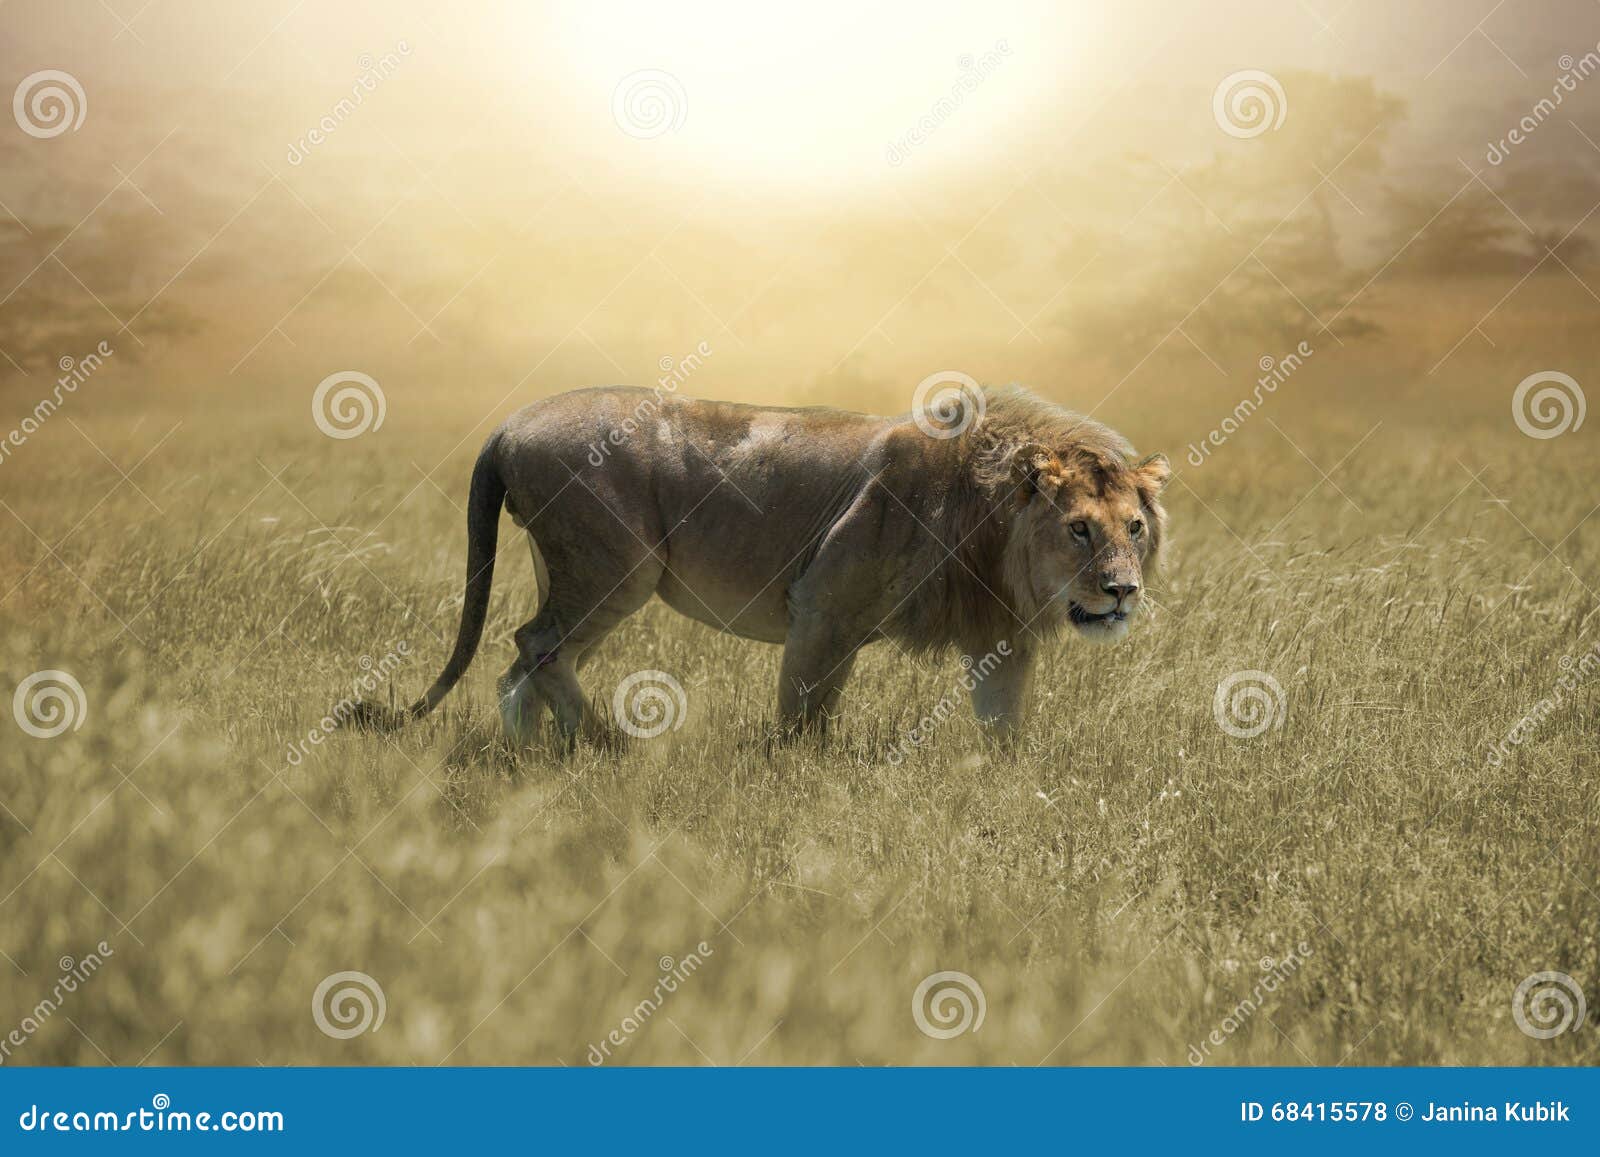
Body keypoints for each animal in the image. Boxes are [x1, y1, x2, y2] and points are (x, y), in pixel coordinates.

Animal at [373, 383, 1169, 743]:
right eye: (1078, 530)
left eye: (1134, 527)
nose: (1122, 591)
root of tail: (509, 423)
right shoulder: (823, 607)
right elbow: (802, 716)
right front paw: (795, 780)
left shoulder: (999, 637)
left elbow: (1004, 729)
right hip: (614, 569)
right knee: (534, 643)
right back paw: (610, 746)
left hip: (576, 577)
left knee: (525, 664)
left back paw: (534, 759)